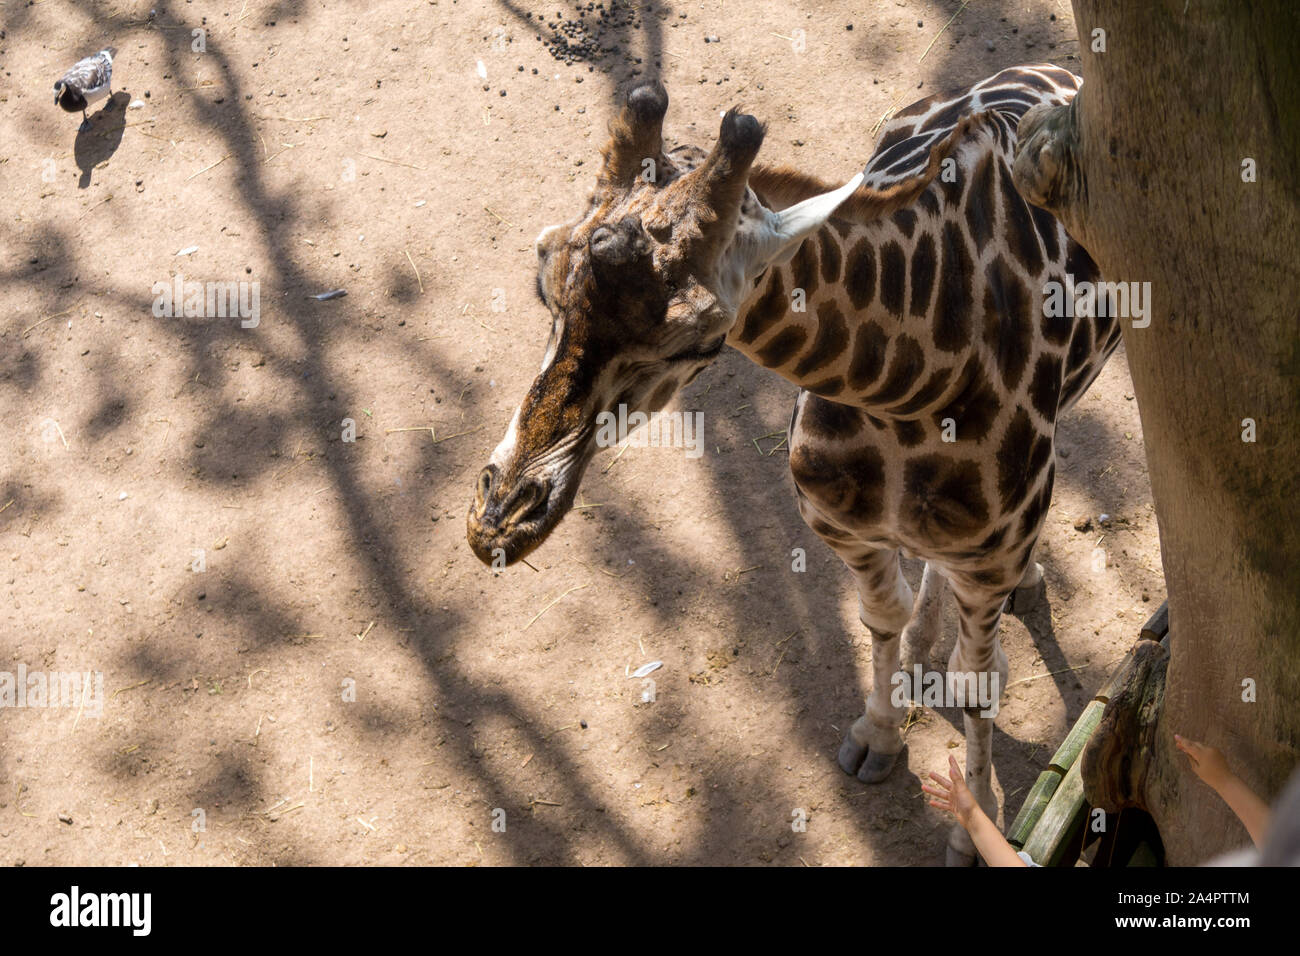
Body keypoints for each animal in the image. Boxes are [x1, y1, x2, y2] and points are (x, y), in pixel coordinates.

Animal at [466, 65, 1121, 864]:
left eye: (696, 339)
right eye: (545, 281)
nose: (498, 522)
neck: (905, 392)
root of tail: (1051, 72)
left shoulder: (987, 557)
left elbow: (978, 684)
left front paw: (977, 828)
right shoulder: (841, 529)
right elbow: (882, 616)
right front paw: (878, 736)